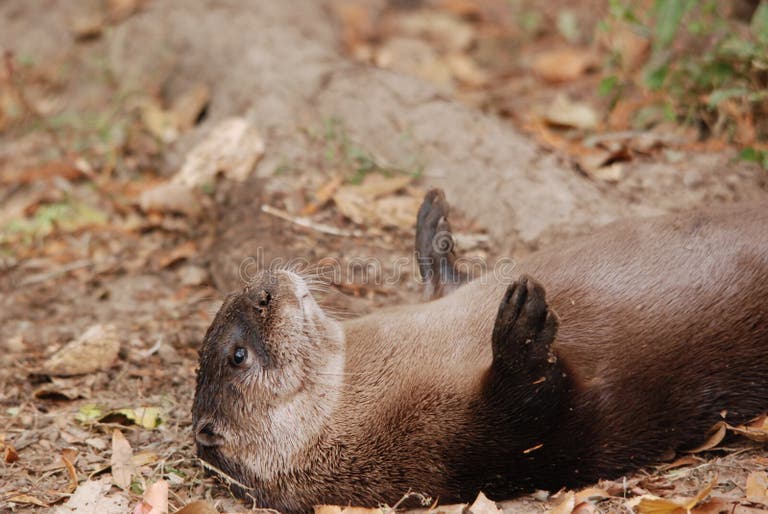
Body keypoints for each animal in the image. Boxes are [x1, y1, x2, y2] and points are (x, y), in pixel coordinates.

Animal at [192, 190, 768, 513]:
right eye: (238, 355)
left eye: (235, 303)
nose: (261, 291)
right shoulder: (460, 450)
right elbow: (540, 421)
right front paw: (519, 333)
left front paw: (434, 231)